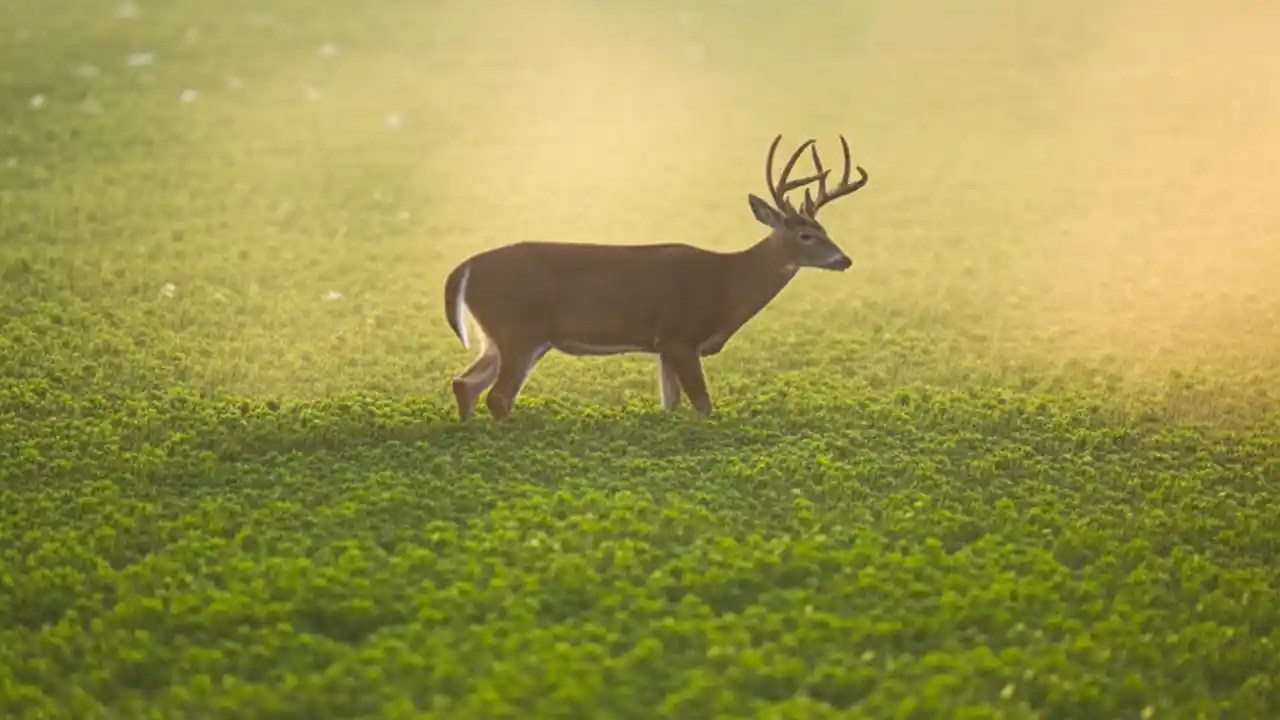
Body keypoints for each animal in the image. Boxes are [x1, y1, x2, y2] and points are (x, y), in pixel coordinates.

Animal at [442, 134, 869, 421]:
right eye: (806, 235)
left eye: (825, 229)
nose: (845, 259)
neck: (726, 284)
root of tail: (466, 267)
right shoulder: (681, 336)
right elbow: (703, 406)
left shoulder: (664, 346)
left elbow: (671, 405)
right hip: (520, 331)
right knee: (497, 396)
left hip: (498, 335)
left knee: (465, 384)